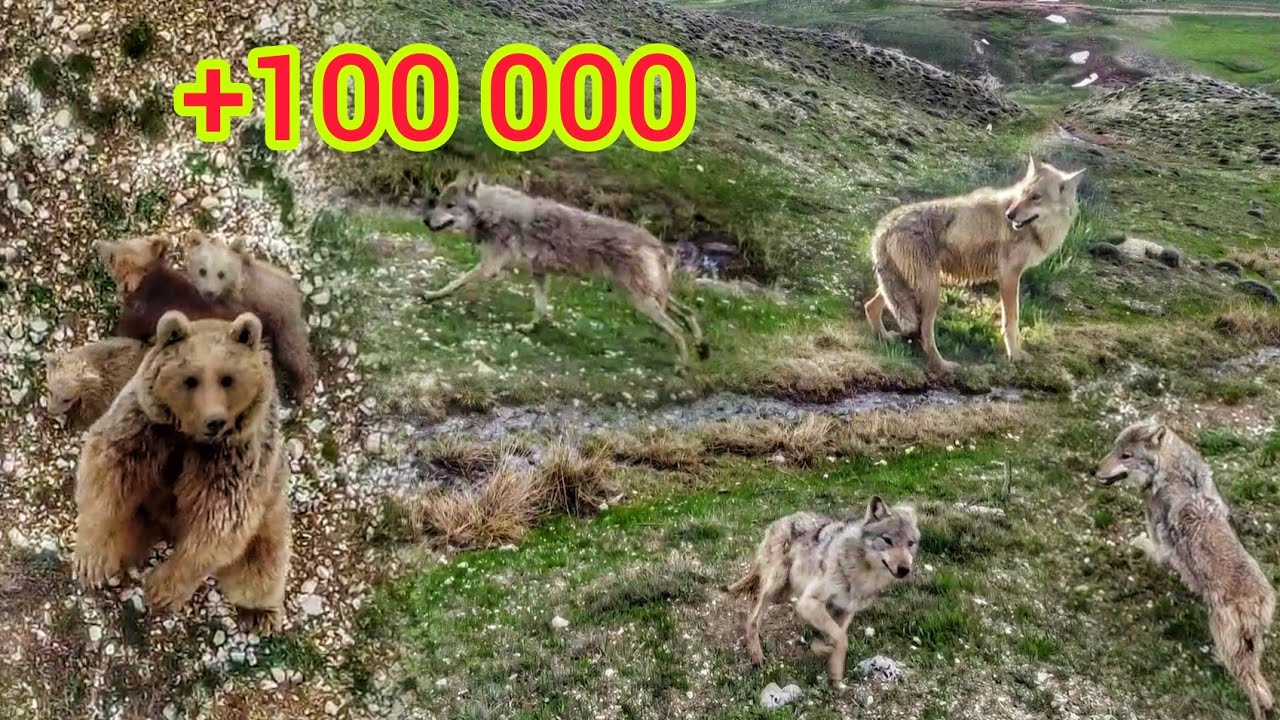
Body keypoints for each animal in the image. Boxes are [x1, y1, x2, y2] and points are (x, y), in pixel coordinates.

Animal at [419, 174, 707, 369]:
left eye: (450, 206)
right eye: (439, 202)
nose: (425, 220)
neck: (493, 211)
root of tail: (660, 245)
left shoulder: (490, 267)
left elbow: (454, 283)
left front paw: (432, 296)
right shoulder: (539, 273)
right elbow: (541, 307)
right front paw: (530, 327)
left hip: (642, 301)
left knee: (677, 329)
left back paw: (683, 364)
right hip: (650, 297)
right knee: (689, 313)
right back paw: (702, 348)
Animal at [728, 497, 919, 685]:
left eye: (910, 543)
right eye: (887, 540)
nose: (904, 569)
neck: (862, 574)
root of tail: (781, 520)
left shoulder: (845, 610)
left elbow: (836, 637)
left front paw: (825, 658)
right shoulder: (808, 603)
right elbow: (841, 639)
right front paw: (830, 663)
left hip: (785, 593)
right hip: (777, 587)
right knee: (753, 616)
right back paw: (757, 657)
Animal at [864, 156, 1085, 372]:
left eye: (1036, 197)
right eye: (1023, 194)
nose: (1009, 215)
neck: (1038, 231)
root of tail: (885, 226)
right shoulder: (1009, 276)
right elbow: (1011, 322)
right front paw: (1014, 355)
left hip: (905, 288)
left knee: (870, 307)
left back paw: (885, 337)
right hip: (931, 293)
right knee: (925, 336)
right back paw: (944, 366)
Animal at [1097, 422, 1275, 720]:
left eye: (1126, 455)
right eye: (1113, 449)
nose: (1094, 471)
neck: (1173, 473)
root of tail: (1260, 600)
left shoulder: (1161, 546)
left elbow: (1144, 544)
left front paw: (1135, 544)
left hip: (1233, 650)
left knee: (1259, 690)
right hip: (1250, 648)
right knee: (1266, 692)